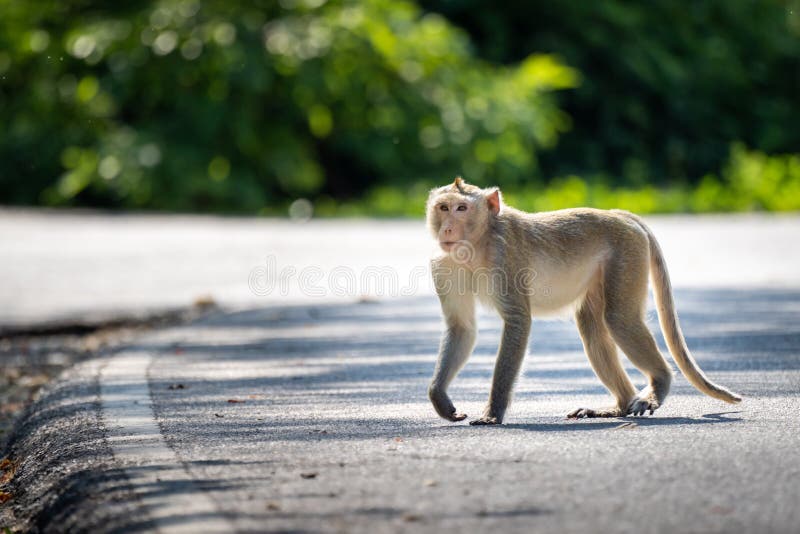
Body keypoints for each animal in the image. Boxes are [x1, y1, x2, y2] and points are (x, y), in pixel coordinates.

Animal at [426, 177, 741, 425]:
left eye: (461, 208)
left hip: (627, 253)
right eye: (443, 208)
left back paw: (656, 387)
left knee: (619, 320)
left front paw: (493, 413)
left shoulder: (506, 258)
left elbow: (518, 321)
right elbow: (461, 328)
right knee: (591, 324)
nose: (447, 229)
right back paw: (618, 406)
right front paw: (439, 398)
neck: (478, 244)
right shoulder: (443, 266)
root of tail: (619, 214)